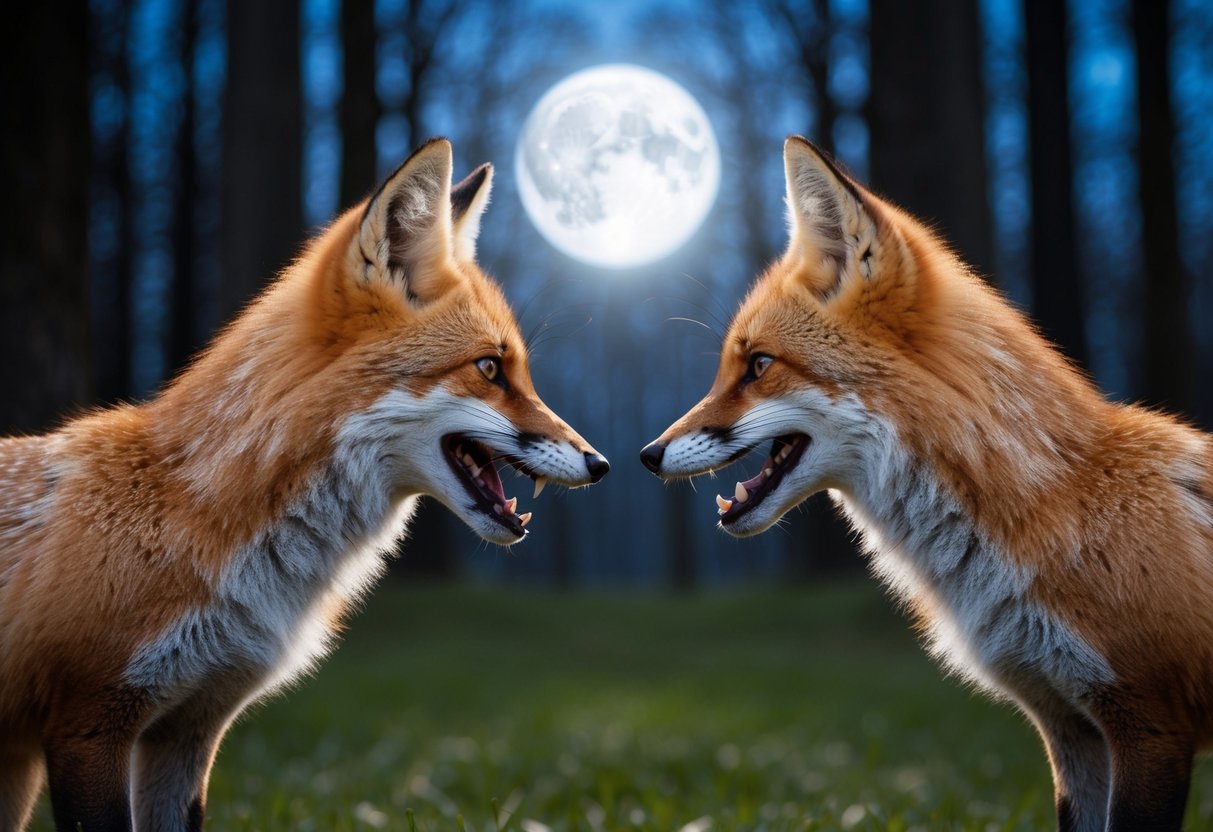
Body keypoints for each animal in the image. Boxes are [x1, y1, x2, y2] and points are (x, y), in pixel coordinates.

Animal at [0, 138, 609, 832]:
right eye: (489, 368)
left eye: (518, 372)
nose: (601, 464)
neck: (205, 511)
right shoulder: (90, 720)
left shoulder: (190, 726)